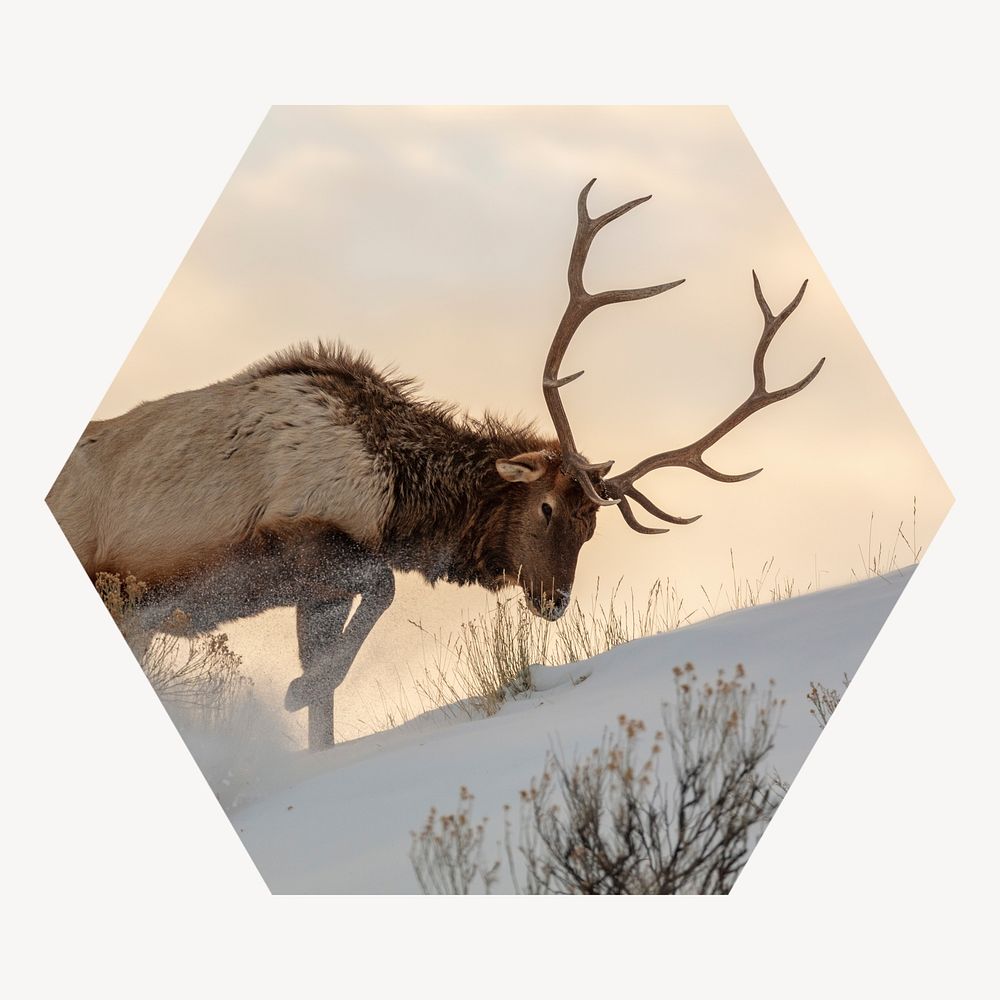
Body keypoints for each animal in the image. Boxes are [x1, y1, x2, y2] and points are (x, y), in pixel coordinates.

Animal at [46, 179, 824, 749]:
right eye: (546, 506)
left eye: (592, 526)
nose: (554, 600)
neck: (399, 499)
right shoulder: (295, 540)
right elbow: (381, 591)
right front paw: (296, 691)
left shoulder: (312, 589)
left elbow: (330, 697)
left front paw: (310, 710)